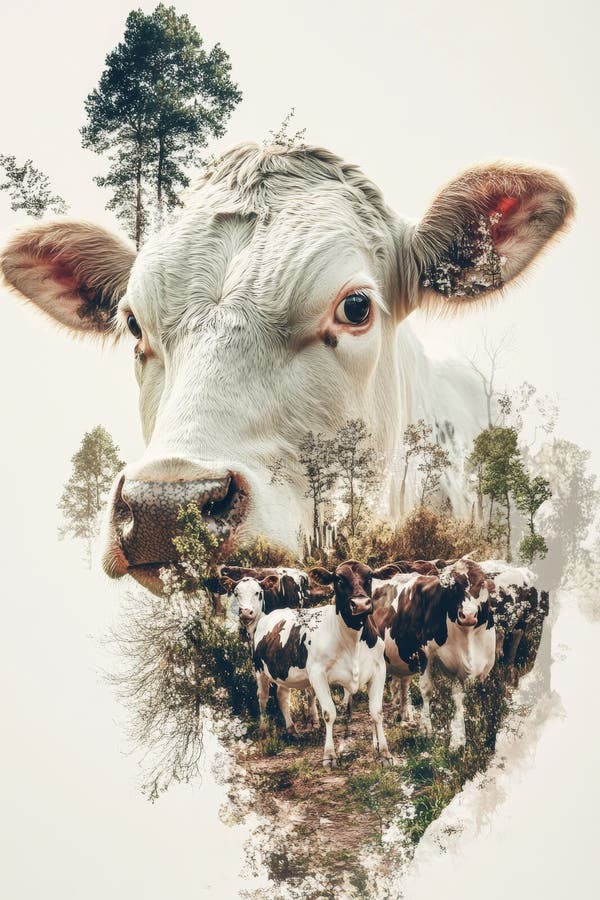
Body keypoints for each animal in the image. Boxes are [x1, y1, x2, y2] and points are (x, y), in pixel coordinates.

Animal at [251, 560, 395, 767]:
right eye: (339, 579)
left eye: (369, 577)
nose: (360, 604)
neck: (353, 641)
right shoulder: (318, 675)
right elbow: (329, 713)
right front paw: (329, 755)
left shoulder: (379, 671)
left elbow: (377, 712)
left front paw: (384, 753)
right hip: (259, 671)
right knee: (262, 697)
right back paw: (264, 729)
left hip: (284, 673)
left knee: (282, 696)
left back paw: (291, 729)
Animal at [373, 558, 496, 748]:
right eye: (453, 586)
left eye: (481, 583)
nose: (468, 615)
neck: (467, 636)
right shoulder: (425, 655)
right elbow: (426, 690)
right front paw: (426, 730)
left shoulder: (481, 666)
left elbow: (465, 698)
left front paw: (464, 738)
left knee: (403, 685)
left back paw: (404, 717)